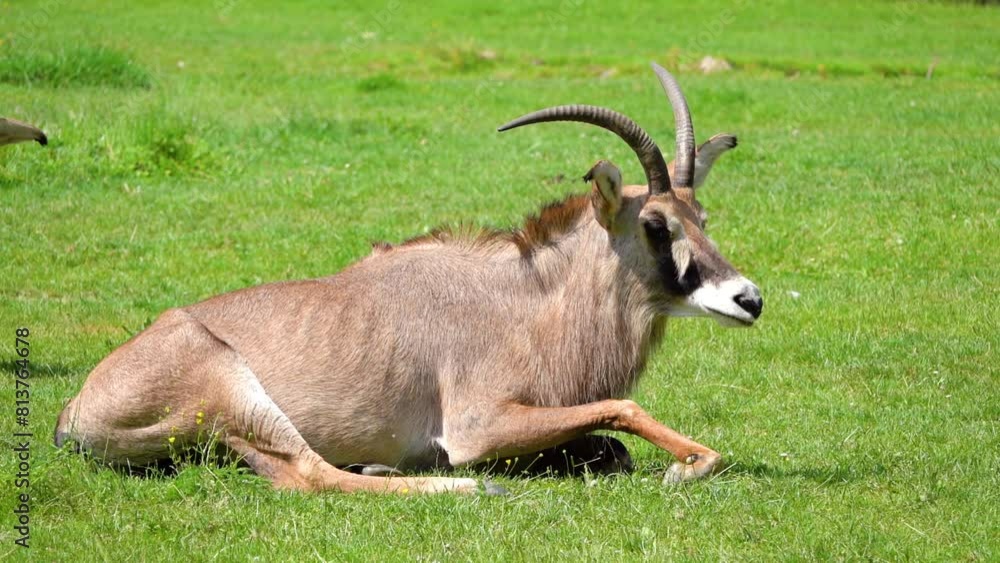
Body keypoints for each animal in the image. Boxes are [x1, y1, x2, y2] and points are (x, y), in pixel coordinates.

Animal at [55, 63, 762, 494]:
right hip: (231, 386)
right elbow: (624, 408)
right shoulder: (478, 426)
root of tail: (72, 413)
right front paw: (690, 464)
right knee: (311, 475)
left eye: (701, 217)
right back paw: (465, 485)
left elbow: (612, 449)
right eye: (655, 224)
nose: (748, 298)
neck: (523, 303)